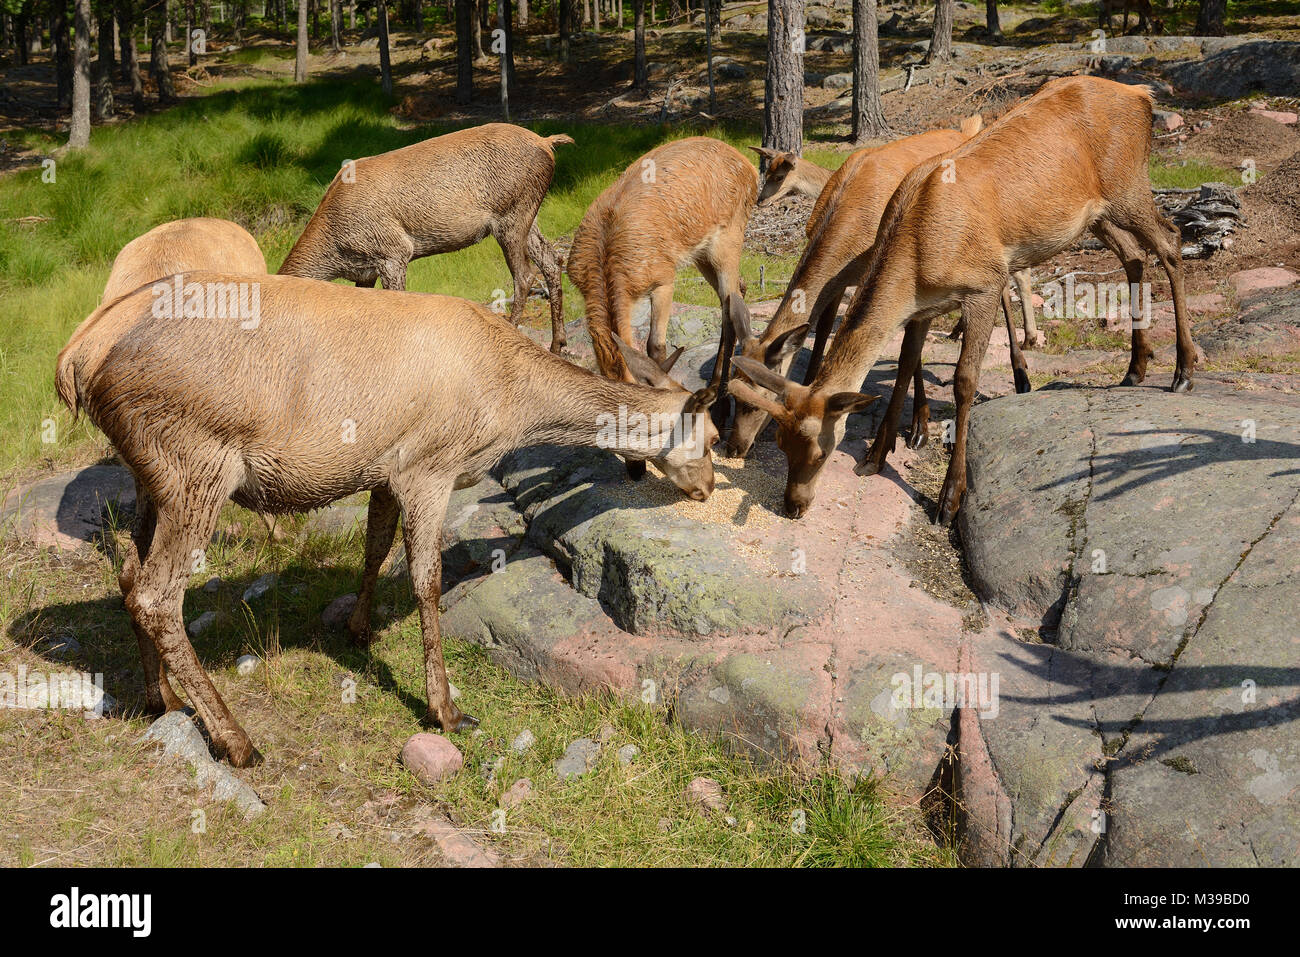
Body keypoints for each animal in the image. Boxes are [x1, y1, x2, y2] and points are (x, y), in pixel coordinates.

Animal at [55, 274, 719, 767]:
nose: (708, 486)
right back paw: (236, 739)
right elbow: (425, 579)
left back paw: (161, 698)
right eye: (712, 437)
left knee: (127, 574)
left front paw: (357, 627)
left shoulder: (382, 467)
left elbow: (374, 546)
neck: (509, 404)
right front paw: (444, 708)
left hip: (150, 473)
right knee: (156, 592)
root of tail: (76, 358)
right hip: (197, 463)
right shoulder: (429, 464)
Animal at [279, 123, 573, 354]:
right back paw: (557, 343)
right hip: (530, 216)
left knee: (524, 275)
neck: (336, 250)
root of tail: (546, 142)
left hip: (511, 215)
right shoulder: (365, 272)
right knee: (552, 260)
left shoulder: (393, 252)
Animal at [720, 116, 1039, 460]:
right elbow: (822, 332)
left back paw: (1021, 371)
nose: (734, 448)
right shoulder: (844, 282)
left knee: (1007, 283)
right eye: (733, 393)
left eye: (754, 403)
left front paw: (918, 429)